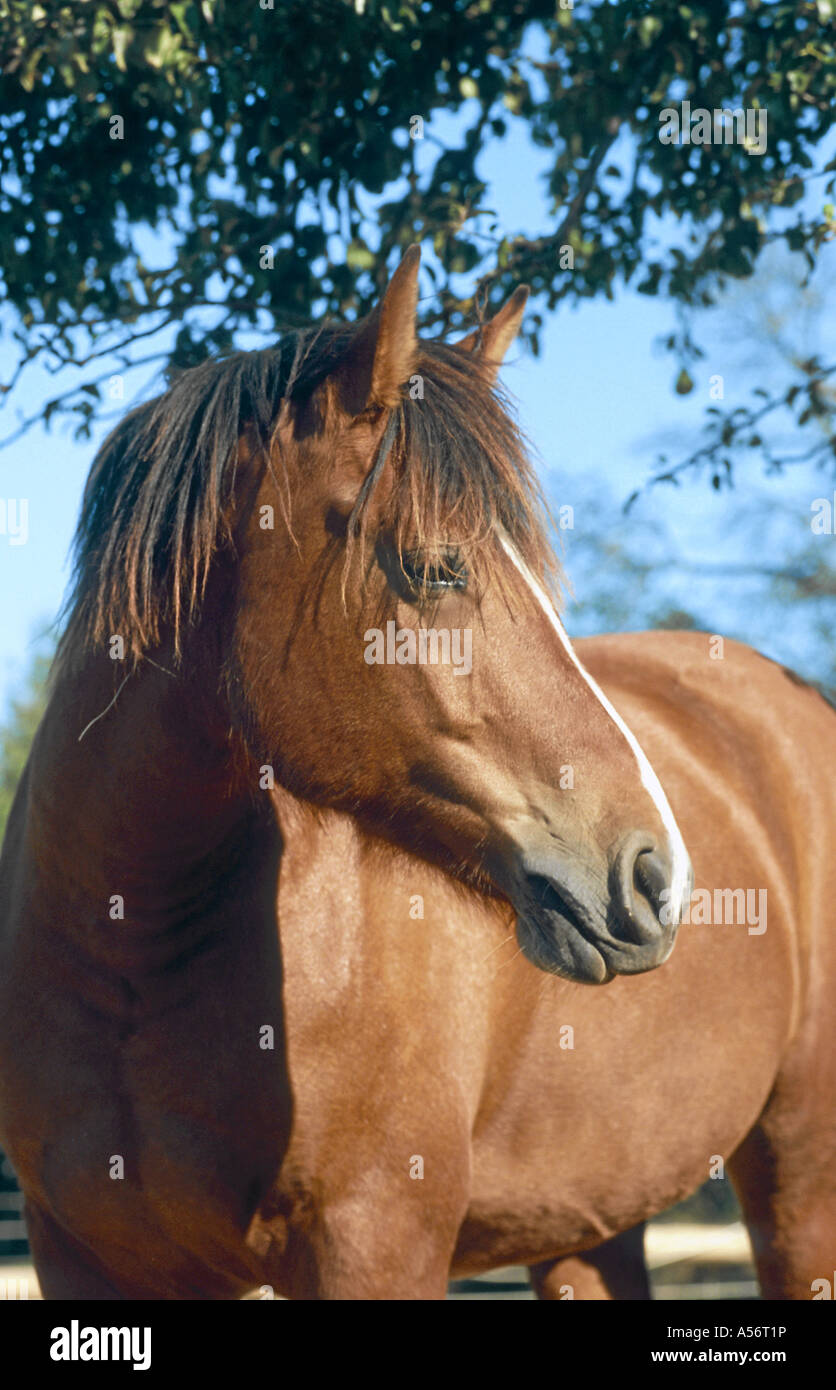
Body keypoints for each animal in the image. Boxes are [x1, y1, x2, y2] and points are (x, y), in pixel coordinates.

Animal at [0, 246, 834, 1300]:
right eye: (435, 566)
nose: (657, 875)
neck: (135, 962)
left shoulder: (376, 1242)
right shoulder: (84, 1259)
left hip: (800, 1179)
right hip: (587, 1220)